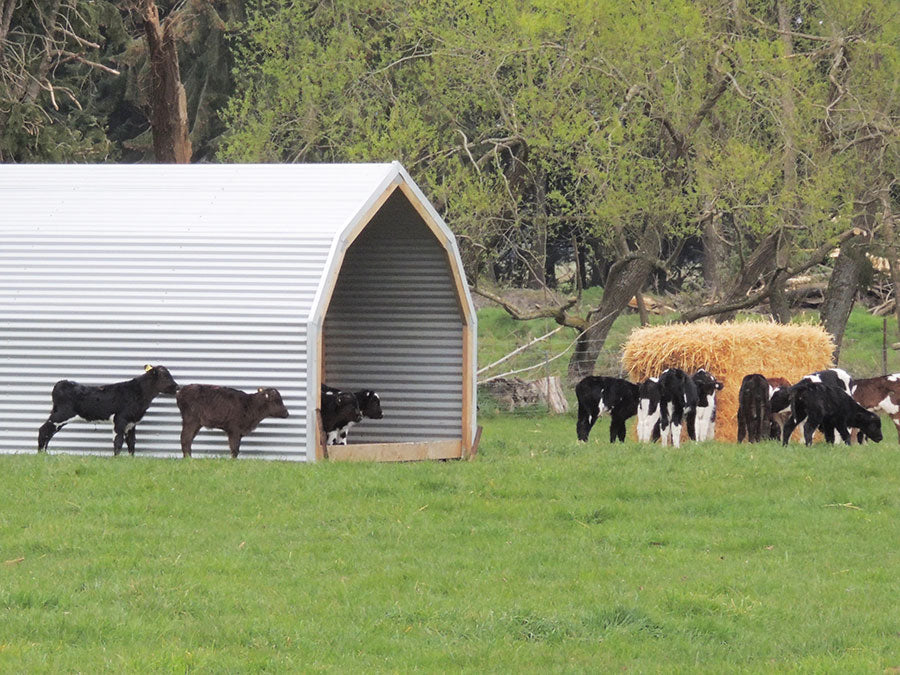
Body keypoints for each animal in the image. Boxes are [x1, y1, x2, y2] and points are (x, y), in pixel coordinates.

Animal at [37, 365, 178, 455]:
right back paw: (41, 454)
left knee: (49, 432)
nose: (177, 387)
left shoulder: (132, 422)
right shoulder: (120, 419)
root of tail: (62, 382)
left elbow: (132, 443)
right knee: (43, 430)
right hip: (61, 415)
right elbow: (118, 441)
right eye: (165, 376)